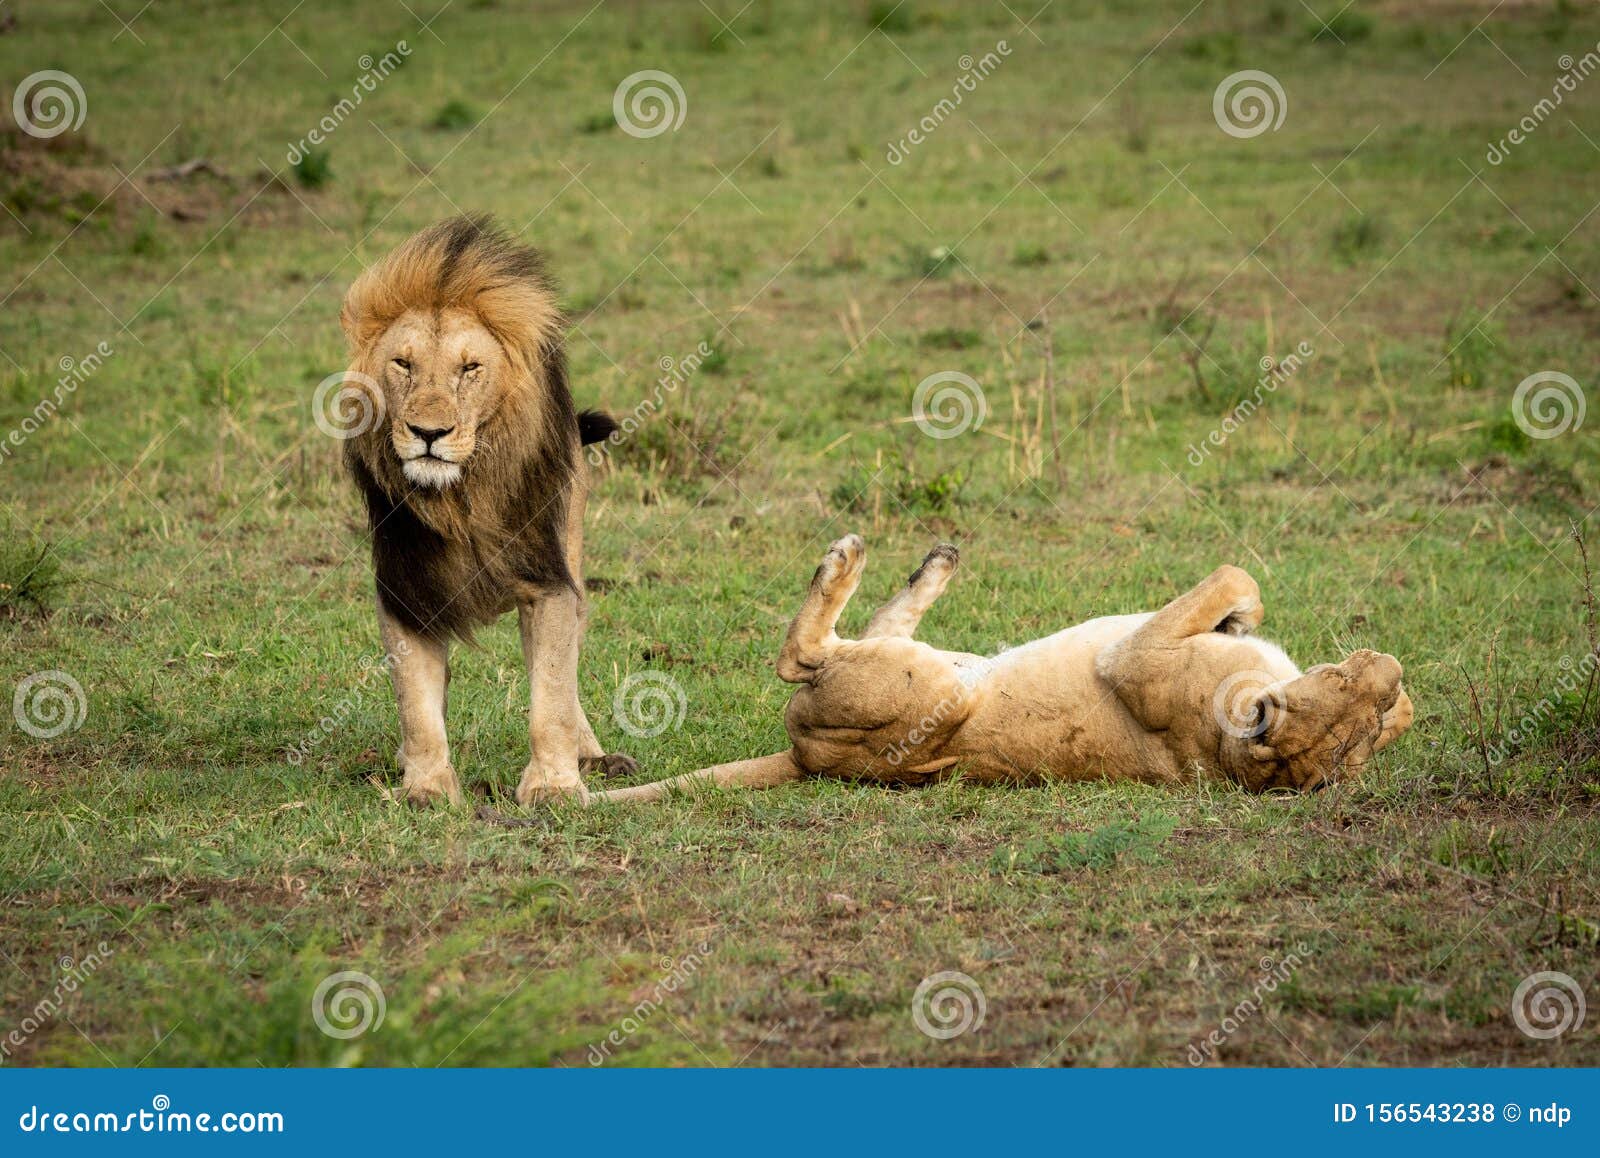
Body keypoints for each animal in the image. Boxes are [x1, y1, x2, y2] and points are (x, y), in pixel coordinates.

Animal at [339, 215, 632, 807]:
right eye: (402, 364)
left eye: (470, 368)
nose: (429, 433)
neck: (459, 499)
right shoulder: (405, 591)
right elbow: (417, 706)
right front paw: (427, 788)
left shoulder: (548, 582)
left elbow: (551, 692)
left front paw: (554, 786)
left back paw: (591, 755)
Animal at [591, 535, 1413, 804]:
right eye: (1350, 688)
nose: (1391, 665)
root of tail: (804, 761)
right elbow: (1242, 581)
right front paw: (1241, 619)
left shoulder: (1134, 657)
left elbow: (1234, 572)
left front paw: (1237, 615)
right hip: (949, 669)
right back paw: (934, 560)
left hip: (938, 688)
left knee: (801, 657)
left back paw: (854, 558)